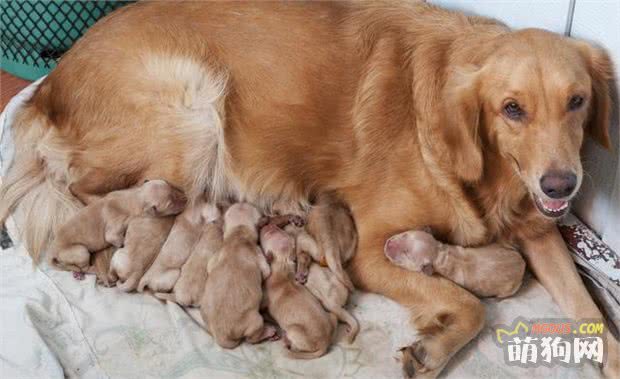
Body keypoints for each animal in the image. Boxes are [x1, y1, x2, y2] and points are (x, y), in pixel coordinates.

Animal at [47, 180, 186, 272]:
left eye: (171, 186)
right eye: (170, 204)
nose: (186, 199)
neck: (134, 197)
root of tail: (52, 251)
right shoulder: (114, 230)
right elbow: (116, 239)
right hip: (81, 251)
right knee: (83, 267)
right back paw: (92, 270)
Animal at [201, 203, 276, 348]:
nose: (242, 202)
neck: (238, 233)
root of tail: (222, 336)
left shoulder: (215, 257)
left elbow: (209, 267)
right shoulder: (258, 254)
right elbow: (266, 272)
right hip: (256, 321)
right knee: (252, 339)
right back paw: (268, 331)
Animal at [262, 223, 340, 360]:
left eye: (268, 234)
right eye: (280, 230)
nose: (269, 224)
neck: (282, 264)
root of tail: (325, 344)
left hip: (294, 330)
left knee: (294, 346)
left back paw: (286, 341)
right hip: (330, 316)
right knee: (333, 317)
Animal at [386, 229, 524, 300]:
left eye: (406, 253)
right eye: (405, 234)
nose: (388, 244)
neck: (440, 254)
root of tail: (522, 263)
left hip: (509, 289)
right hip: (501, 246)